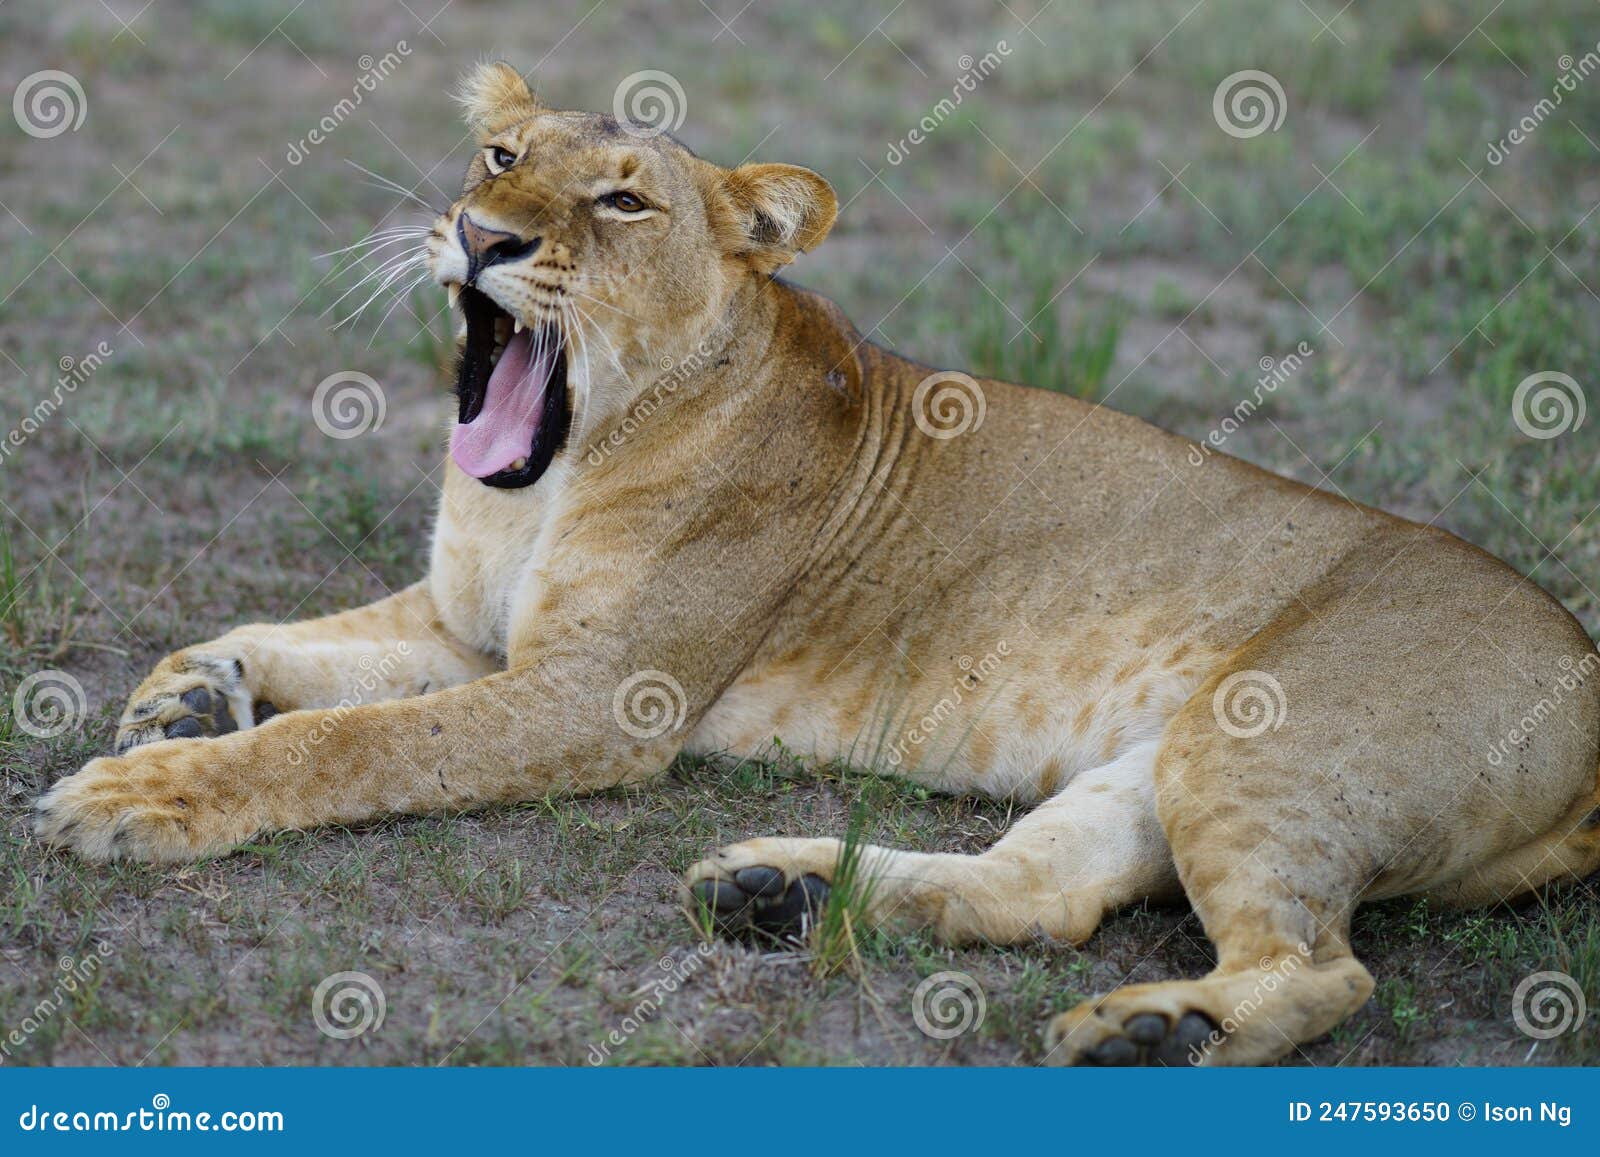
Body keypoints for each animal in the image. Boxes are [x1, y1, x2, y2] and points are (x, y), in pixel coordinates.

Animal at [34, 64, 1600, 1066]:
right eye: (501, 161)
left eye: (624, 203)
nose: (481, 237)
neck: (549, 476)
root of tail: (1583, 666)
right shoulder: (471, 631)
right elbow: (305, 641)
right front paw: (186, 694)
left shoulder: (593, 697)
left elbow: (346, 743)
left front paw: (145, 792)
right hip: (1169, 760)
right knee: (1047, 891)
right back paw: (780, 894)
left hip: (1261, 740)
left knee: (1321, 968)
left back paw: (1155, 1033)